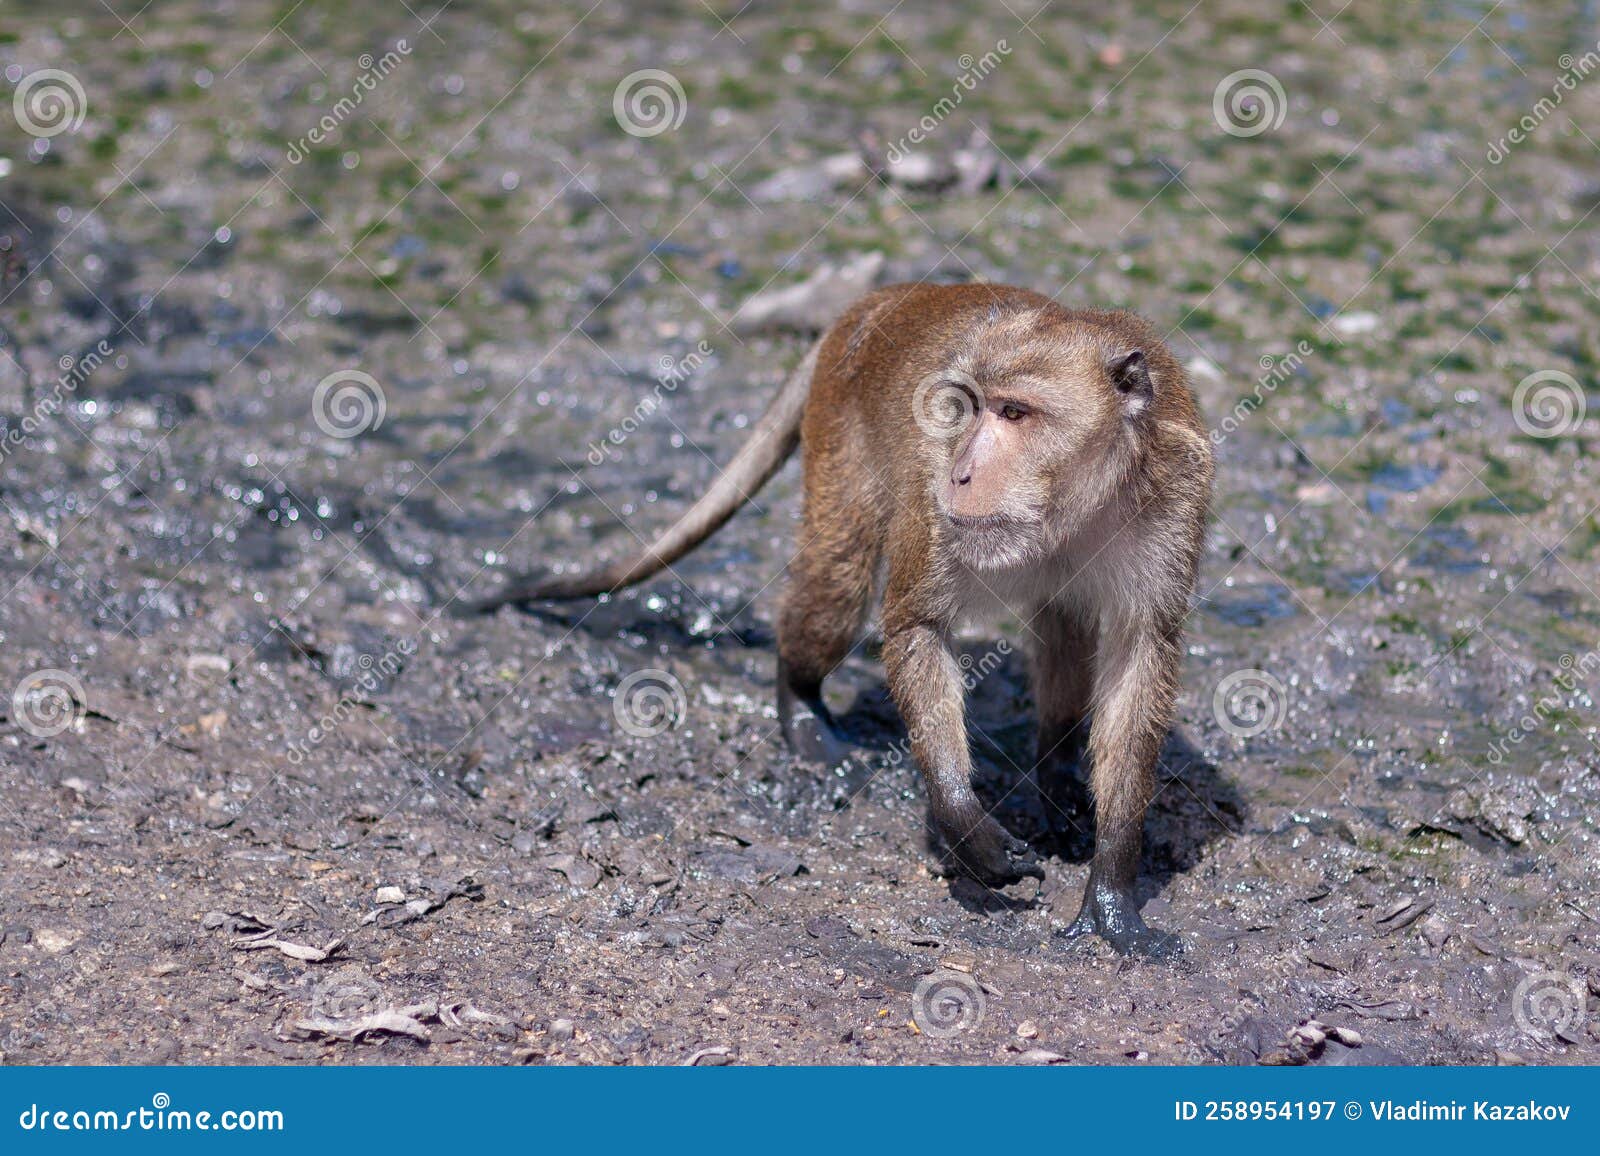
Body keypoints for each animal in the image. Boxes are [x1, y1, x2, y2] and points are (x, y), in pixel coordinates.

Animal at [466, 283, 1213, 957]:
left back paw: (1052, 775)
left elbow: (1139, 655)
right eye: (967, 407)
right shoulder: (935, 509)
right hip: (839, 432)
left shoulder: (1175, 495)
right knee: (838, 581)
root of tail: (882, 298)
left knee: (1061, 622)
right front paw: (964, 823)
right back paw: (799, 704)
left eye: (1015, 412)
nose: (962, 473)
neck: (1076, 503)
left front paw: (1111, 889)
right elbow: (914, 627)